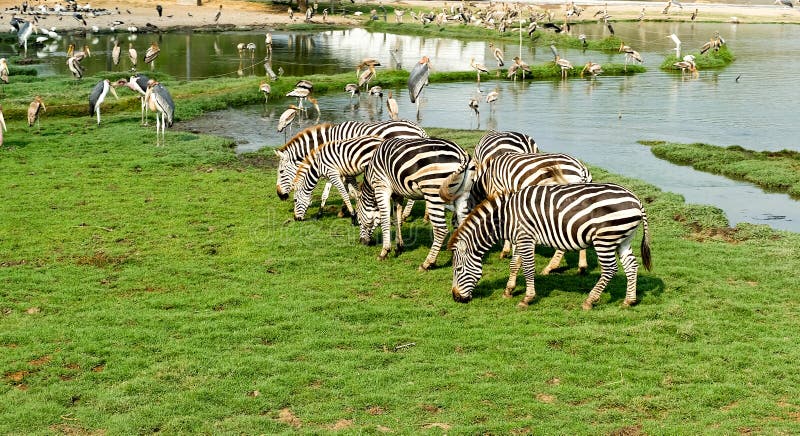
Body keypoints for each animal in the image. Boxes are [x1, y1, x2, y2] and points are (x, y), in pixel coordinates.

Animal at [275, 120, 428, 216]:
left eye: (281, 172)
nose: (280, 196)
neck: (328, 140)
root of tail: (419, 129)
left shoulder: (342, 163)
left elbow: (348, 189)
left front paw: (346, 210)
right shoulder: (337, 165)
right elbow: (335, 190)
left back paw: (406, 214)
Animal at [356, 136, 473, 271]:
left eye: (358, 218)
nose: (362, 242)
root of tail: (461, 153)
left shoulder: (381, 186)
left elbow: (385, 219)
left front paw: (384, 252)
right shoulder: (397, 194)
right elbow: (397, 219)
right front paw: (399, 247)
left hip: (433, 191)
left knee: (440, 230)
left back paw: (427, 263)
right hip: (463, 195)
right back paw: (463, 258)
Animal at [449, 183, 651, 309]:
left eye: (457, 269)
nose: (455, 298)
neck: (504, 218)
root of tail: (636, 200)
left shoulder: (526, 238)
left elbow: (528, 268)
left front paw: (527, 298)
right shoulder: (520, 238)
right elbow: (514, 264)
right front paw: (509, 290)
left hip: (605, 239)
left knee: (610, 269)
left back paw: (590, 301)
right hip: (623, 238)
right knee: (632, 266)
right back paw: (629, 301)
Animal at [450, 152, 593, 278]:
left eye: (455, 224)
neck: (486, 180)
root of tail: (581, 168)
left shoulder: (500, 192)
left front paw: (506, 251)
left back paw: (550, 267)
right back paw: (581, 267)